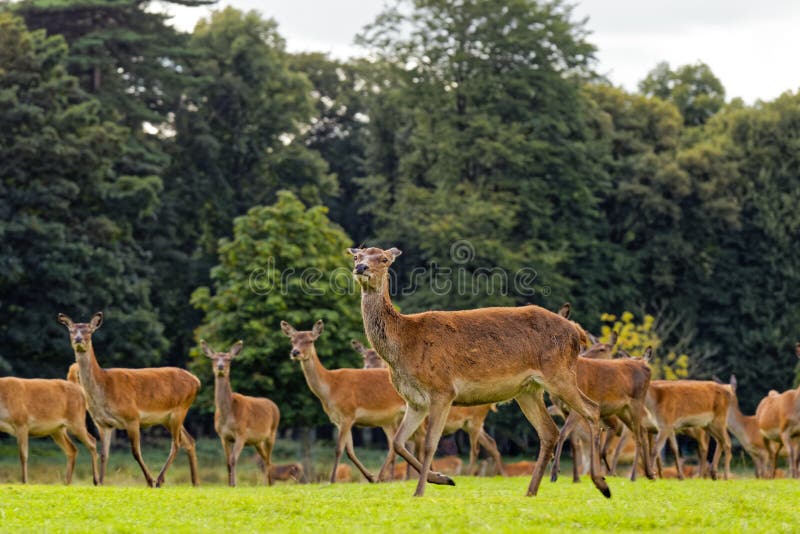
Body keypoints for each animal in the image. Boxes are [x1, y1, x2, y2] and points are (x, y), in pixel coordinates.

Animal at [58, 312, 200, 487]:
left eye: (89, 331)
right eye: (71, 331)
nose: (78, 339)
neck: (104, 387)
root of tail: (197, 381)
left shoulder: (132, 417)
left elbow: (136, 452)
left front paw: (149, 480)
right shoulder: (103, 423)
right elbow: (104, 454)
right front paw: (101, 482)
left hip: (180, 409)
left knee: (177, 443)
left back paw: (159, 480)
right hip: (167, 418)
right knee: (189, 441)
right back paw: (195, 482)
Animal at [201, 340, 280, 486]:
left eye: (228, 359)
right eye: (213, 358)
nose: (220, 366)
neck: (227, 415)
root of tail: (274, 405)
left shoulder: (241, 434)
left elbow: (233, 460)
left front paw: (234, 484)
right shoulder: (223, 436)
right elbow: (227, 461)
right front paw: (229, 484)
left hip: (272, 432)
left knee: (268, 460)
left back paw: (269, 484)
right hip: (257, 441)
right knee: (265, 458)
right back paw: (269, 483)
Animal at [281, 320, 405, 484]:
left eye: (310, 340)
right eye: (292, 340)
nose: (295, 352)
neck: (330, 390)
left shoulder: (347, 413)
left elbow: (338, 449)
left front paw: (332, 480)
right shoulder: (338, 420)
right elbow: (350, 451)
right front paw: (369, 477)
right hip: (388, 420)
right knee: (394, 444)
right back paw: (381, 477)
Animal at [354, 339, 507, 477]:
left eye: (377, 357)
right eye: (364, 357)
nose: (367, 367)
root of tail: (491, 404)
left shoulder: (421, 428)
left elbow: (416, 452)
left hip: (475, 420)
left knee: (476, 449)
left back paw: (472, 474)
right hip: (470, 424)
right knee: (491, 443)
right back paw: (499, 474)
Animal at [755, 344, 800, 478]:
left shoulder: (798, 433)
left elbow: (797, 456)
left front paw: (796, 476)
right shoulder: (784, 430)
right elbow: (791, 452)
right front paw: (792, 475)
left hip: (778, 439)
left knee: (774, 454)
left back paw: (773, 475)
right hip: (763, 434)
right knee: (770, 454)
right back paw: (768, 476)